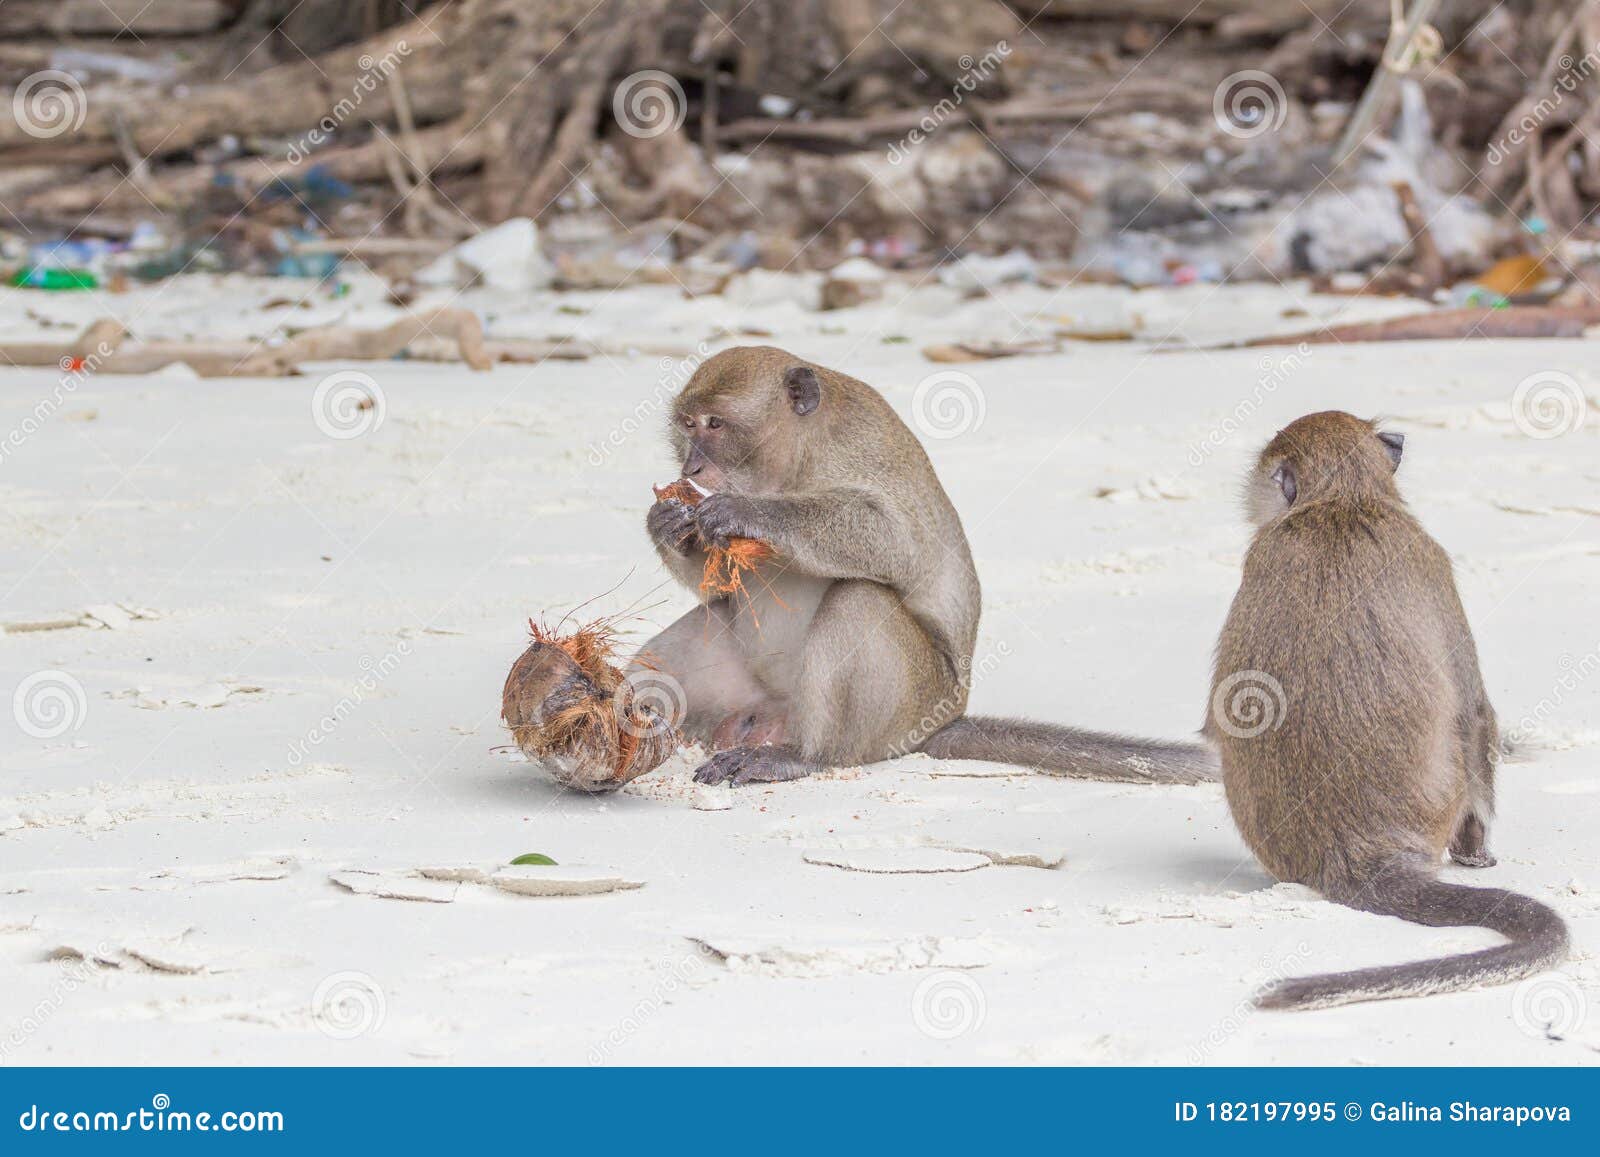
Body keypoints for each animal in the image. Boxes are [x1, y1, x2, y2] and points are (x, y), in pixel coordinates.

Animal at [633, 345, 1217, 787]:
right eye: (687, 426)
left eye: (715, 424)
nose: (692, 467)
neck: (796, 460)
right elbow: (714, 583)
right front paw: (667, 522)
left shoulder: (858, 450)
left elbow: (895, 542)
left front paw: (747, 512)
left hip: (912, 701)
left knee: (859, 600)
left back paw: (804, 756)